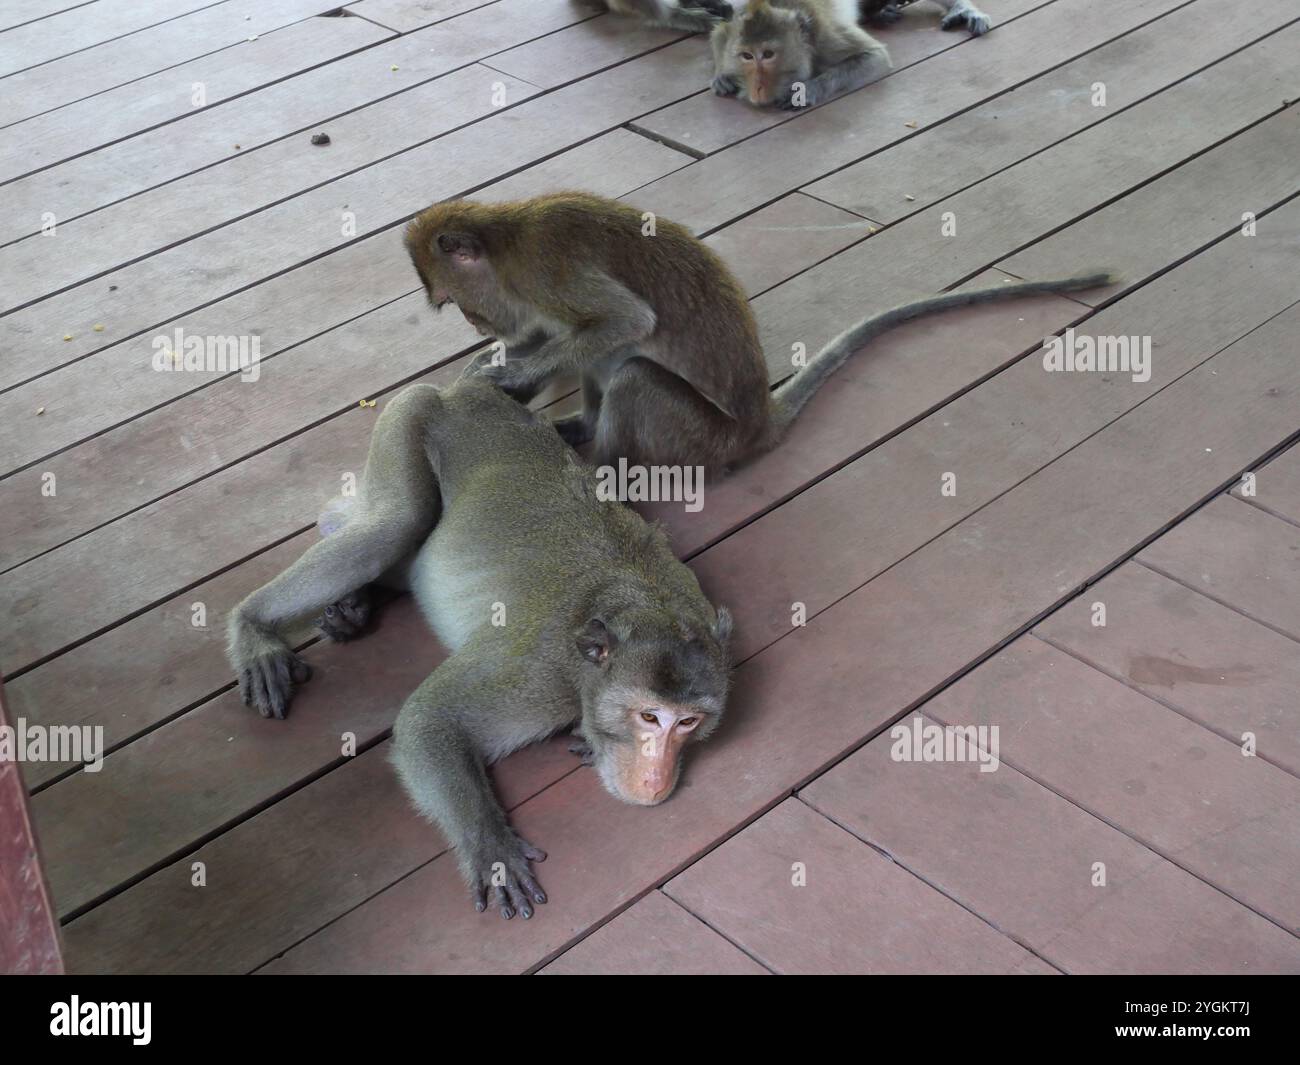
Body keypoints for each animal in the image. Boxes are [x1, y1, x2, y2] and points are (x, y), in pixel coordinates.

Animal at [226, 378, 733, 919]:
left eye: (688, 722)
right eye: (649, 717)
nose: (656, 781)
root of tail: (473, 390)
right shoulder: (540, 673)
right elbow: (428, 718)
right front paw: (490, 847)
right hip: (413, 412)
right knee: (394, 523)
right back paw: (254, 625)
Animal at [404, 191, 1117, 477]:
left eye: (456, 303)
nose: (475, 323)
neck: (505, 242)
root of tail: (754, 424)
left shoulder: (546, 269)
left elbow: (625, 323)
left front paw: (511, 373)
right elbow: (571, 336)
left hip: (700, 439)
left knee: (631, 370)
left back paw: (606, 469)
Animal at [710, 0, 891, 108]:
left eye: (768, 54)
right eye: (747, 56)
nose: (758, 87)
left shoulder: (825, 38)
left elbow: (876, 56)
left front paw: (807, 90)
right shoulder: (731, 27)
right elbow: (719, 33)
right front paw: (722, 77)